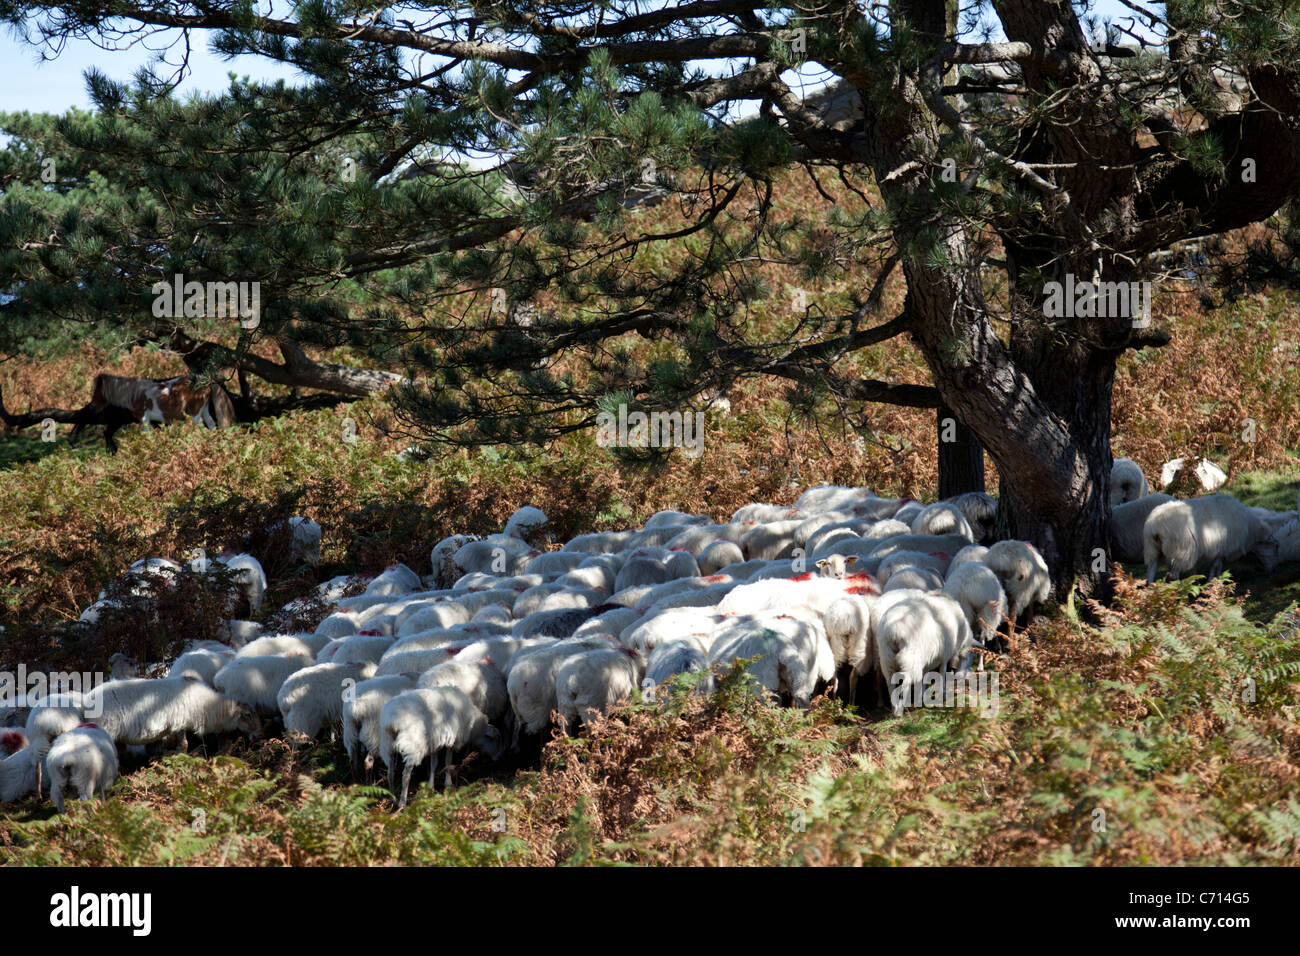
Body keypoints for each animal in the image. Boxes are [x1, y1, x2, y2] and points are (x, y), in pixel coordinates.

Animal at [82, 677, 261, 747]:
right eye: (247, 715)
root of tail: (88, 698)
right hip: (107, 728)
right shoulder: (179, 723)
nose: (260, 734)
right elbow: (184, 744)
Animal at [1143, 494, 1280, 583]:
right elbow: (1216, 567)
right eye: (1275, 546)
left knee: (1150, 573)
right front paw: (1213, 582)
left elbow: (1196, 570)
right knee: (1174, 576)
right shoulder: (1223, 549)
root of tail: (1156, 525)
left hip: (1152, 550)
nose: (1274, 570)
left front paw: (1197, 583)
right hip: (1180, 552)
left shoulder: (1209, 551)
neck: (1250, 529)